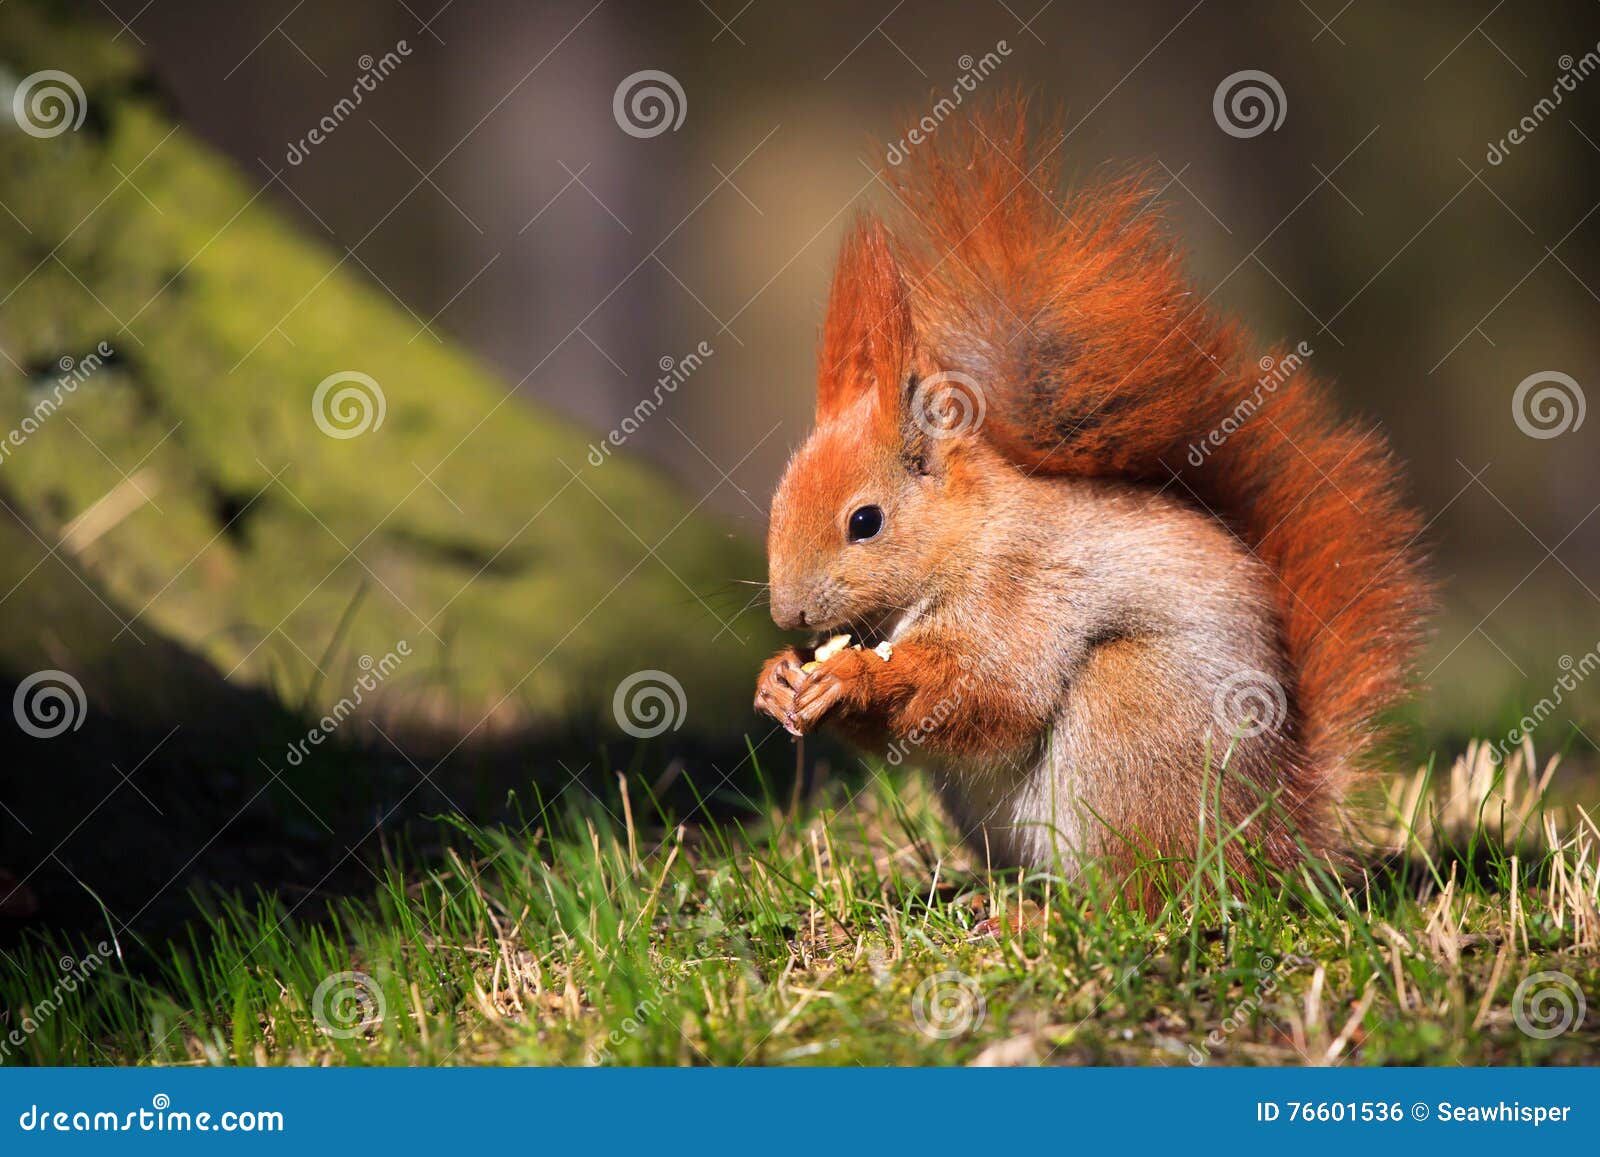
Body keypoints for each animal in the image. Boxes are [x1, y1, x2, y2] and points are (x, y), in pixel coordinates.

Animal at [753, 99, 1431, 894]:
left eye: (865, 521)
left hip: (1128, 722)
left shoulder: (1020, 593)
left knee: (1148, 894)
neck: (968, 537)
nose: (787, 613)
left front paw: (850, 677)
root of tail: (1281, 840)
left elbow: (991, 691)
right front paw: (778, 678)